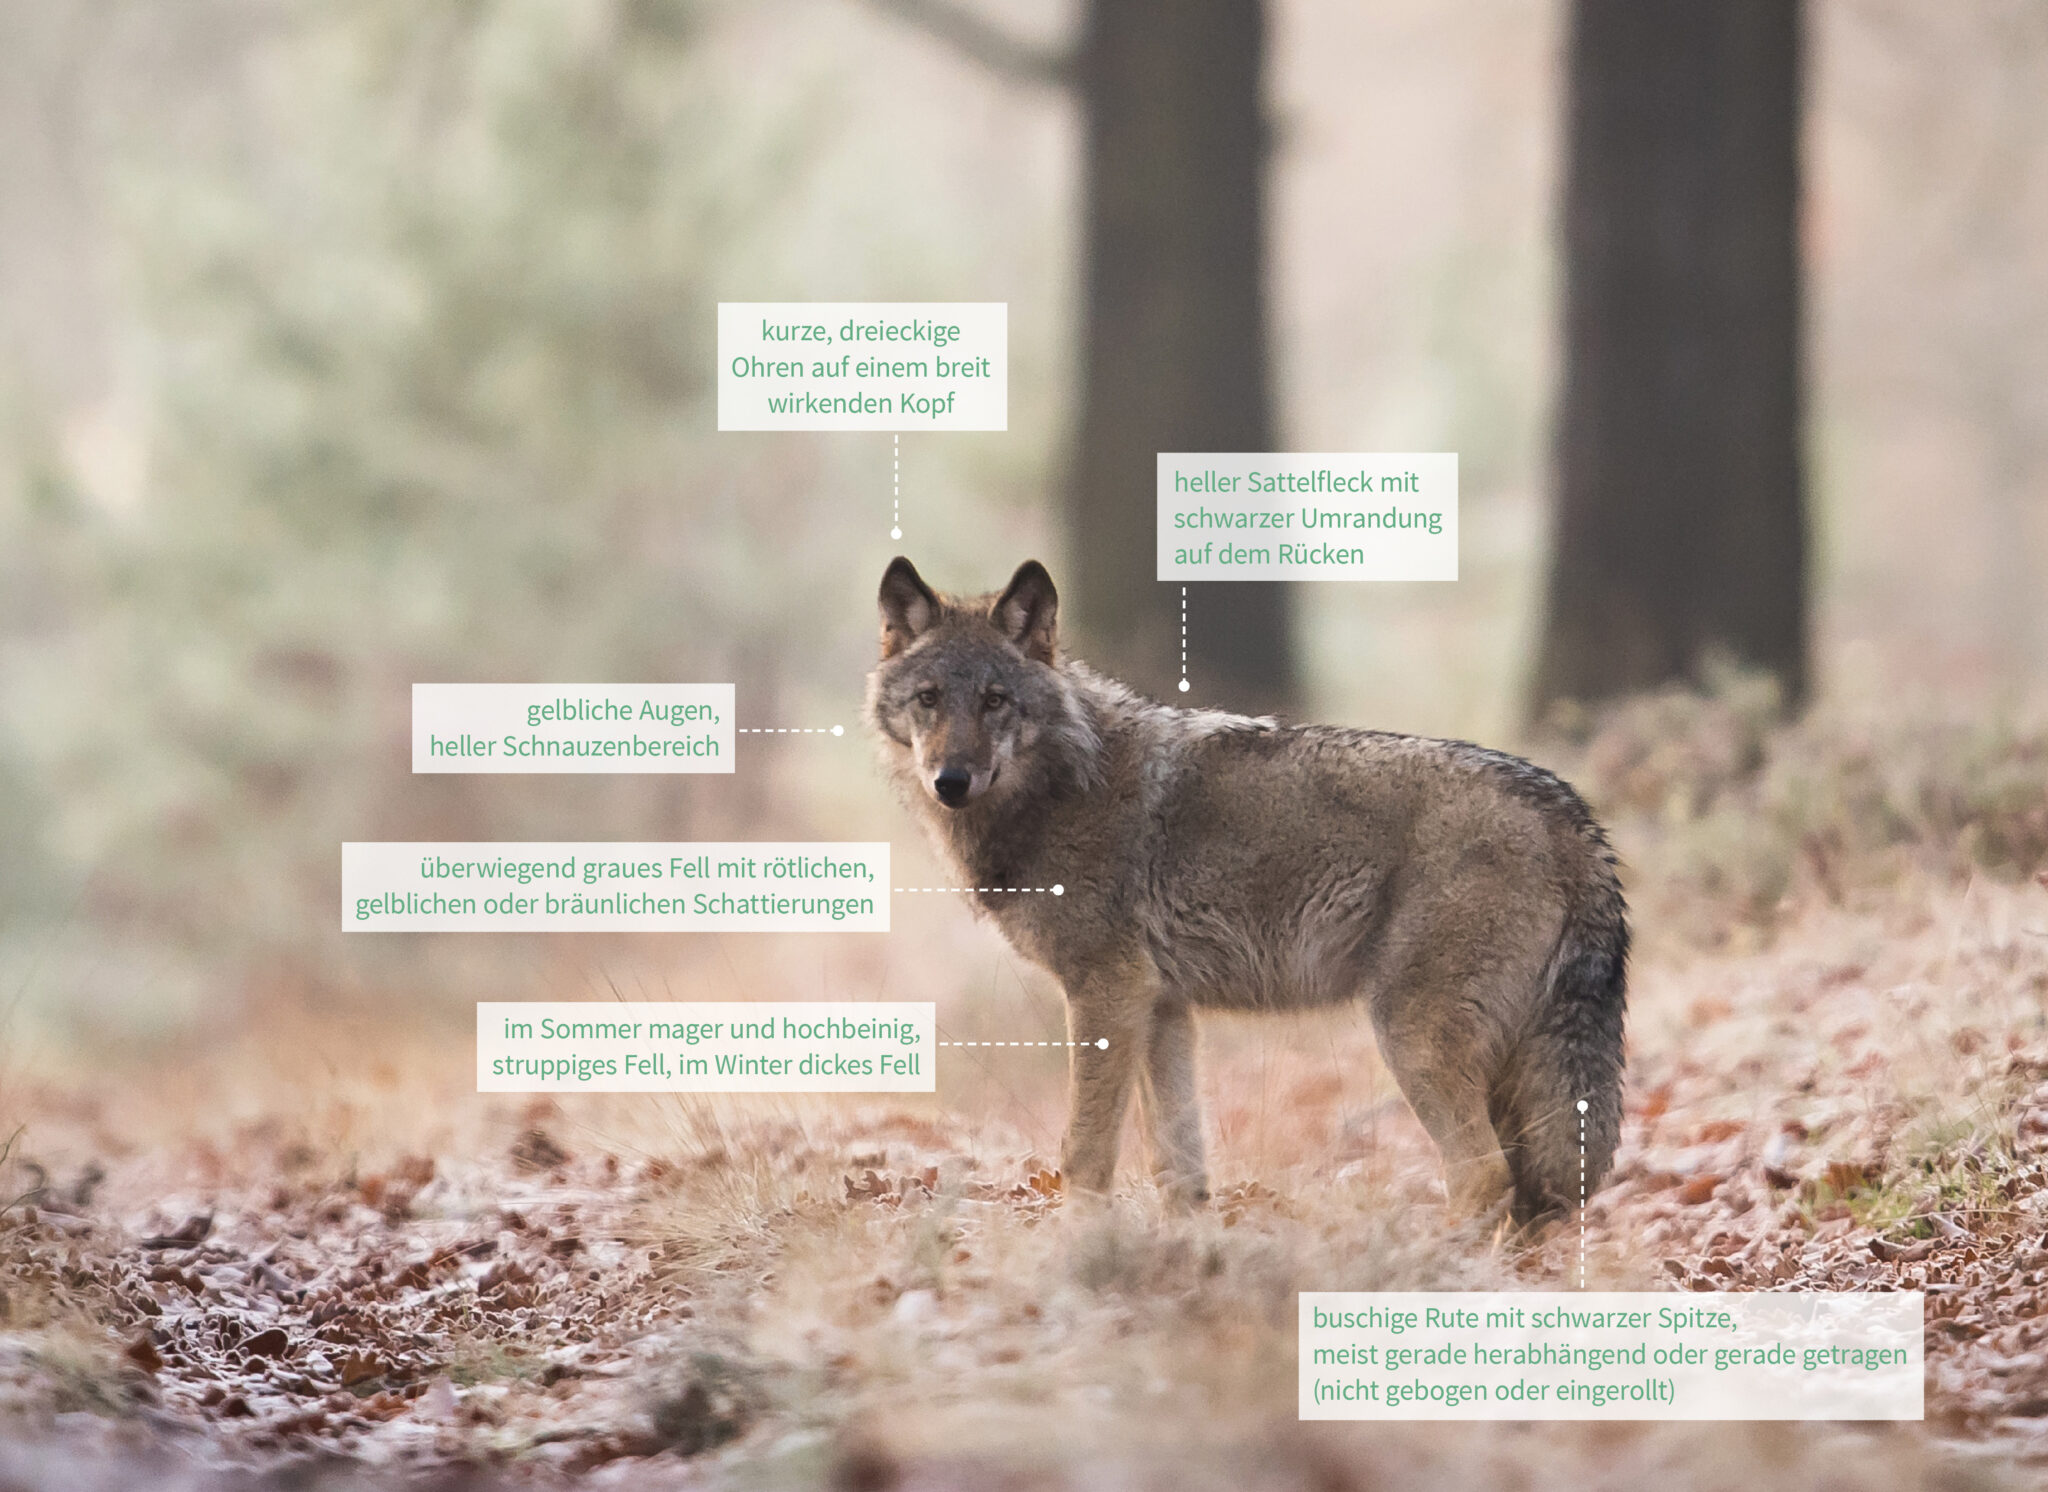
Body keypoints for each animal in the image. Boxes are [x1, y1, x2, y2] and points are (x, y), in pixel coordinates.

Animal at [865, 557, 1627, 1227]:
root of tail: (1568, 809)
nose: (951, 781)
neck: (1060, 787)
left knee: (1484, 1174)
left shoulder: (1104, 995)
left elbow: (1084, 1153)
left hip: (1411, 1038)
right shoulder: (1161, 1008)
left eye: (995, 701)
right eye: (929, 699)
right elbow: (1179, 1165)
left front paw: (1078, 1255)